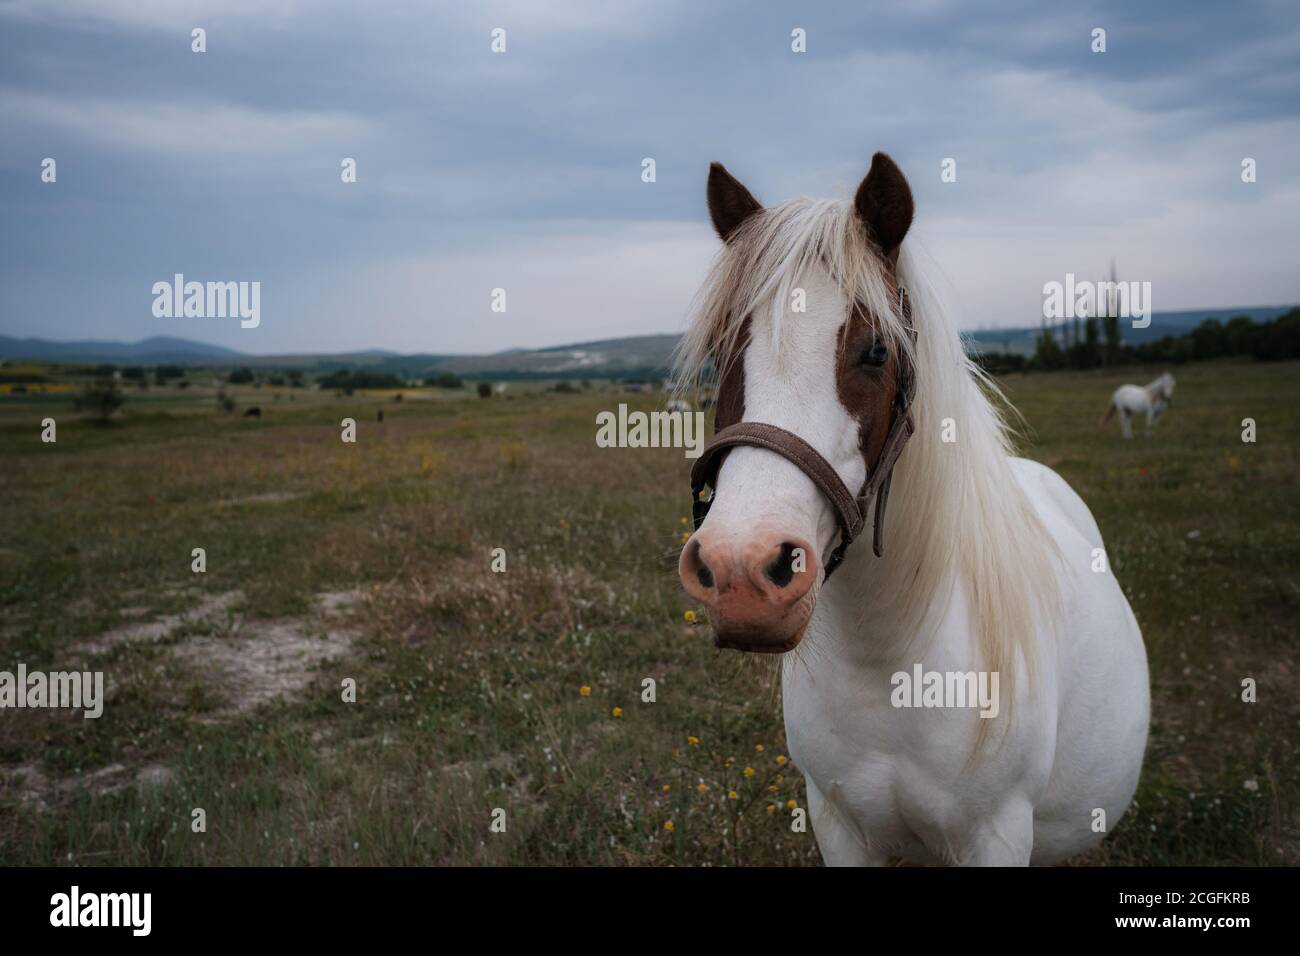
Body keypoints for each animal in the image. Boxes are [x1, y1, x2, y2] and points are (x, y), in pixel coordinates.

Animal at [674, 154, 1149, 866]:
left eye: (876, 351)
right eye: (722, 353)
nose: (742, 571)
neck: (888, 660)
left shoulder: (997, 835)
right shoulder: (839, 824)